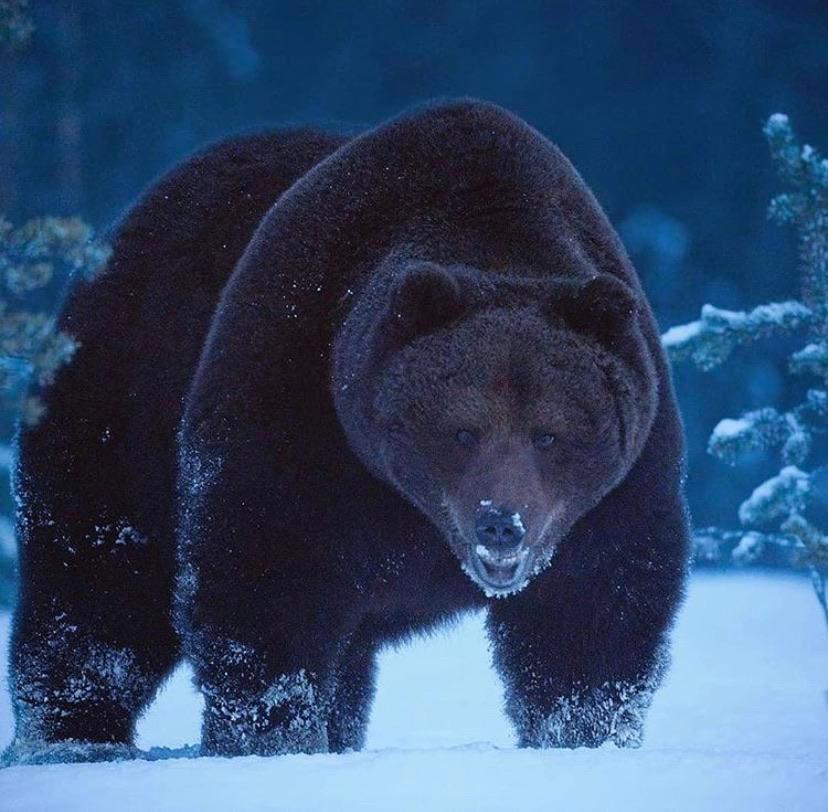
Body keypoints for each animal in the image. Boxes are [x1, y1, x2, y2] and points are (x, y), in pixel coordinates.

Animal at [5, 99, 690, 764]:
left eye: (549, 433)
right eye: (463, 431)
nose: (501, 522)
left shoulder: (619, 483)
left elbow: (592, 613)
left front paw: (582, 738)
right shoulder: (297, 394)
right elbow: (265, 575)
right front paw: (271, 739)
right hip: (125, 395)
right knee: (100, 583)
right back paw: (74, 739)